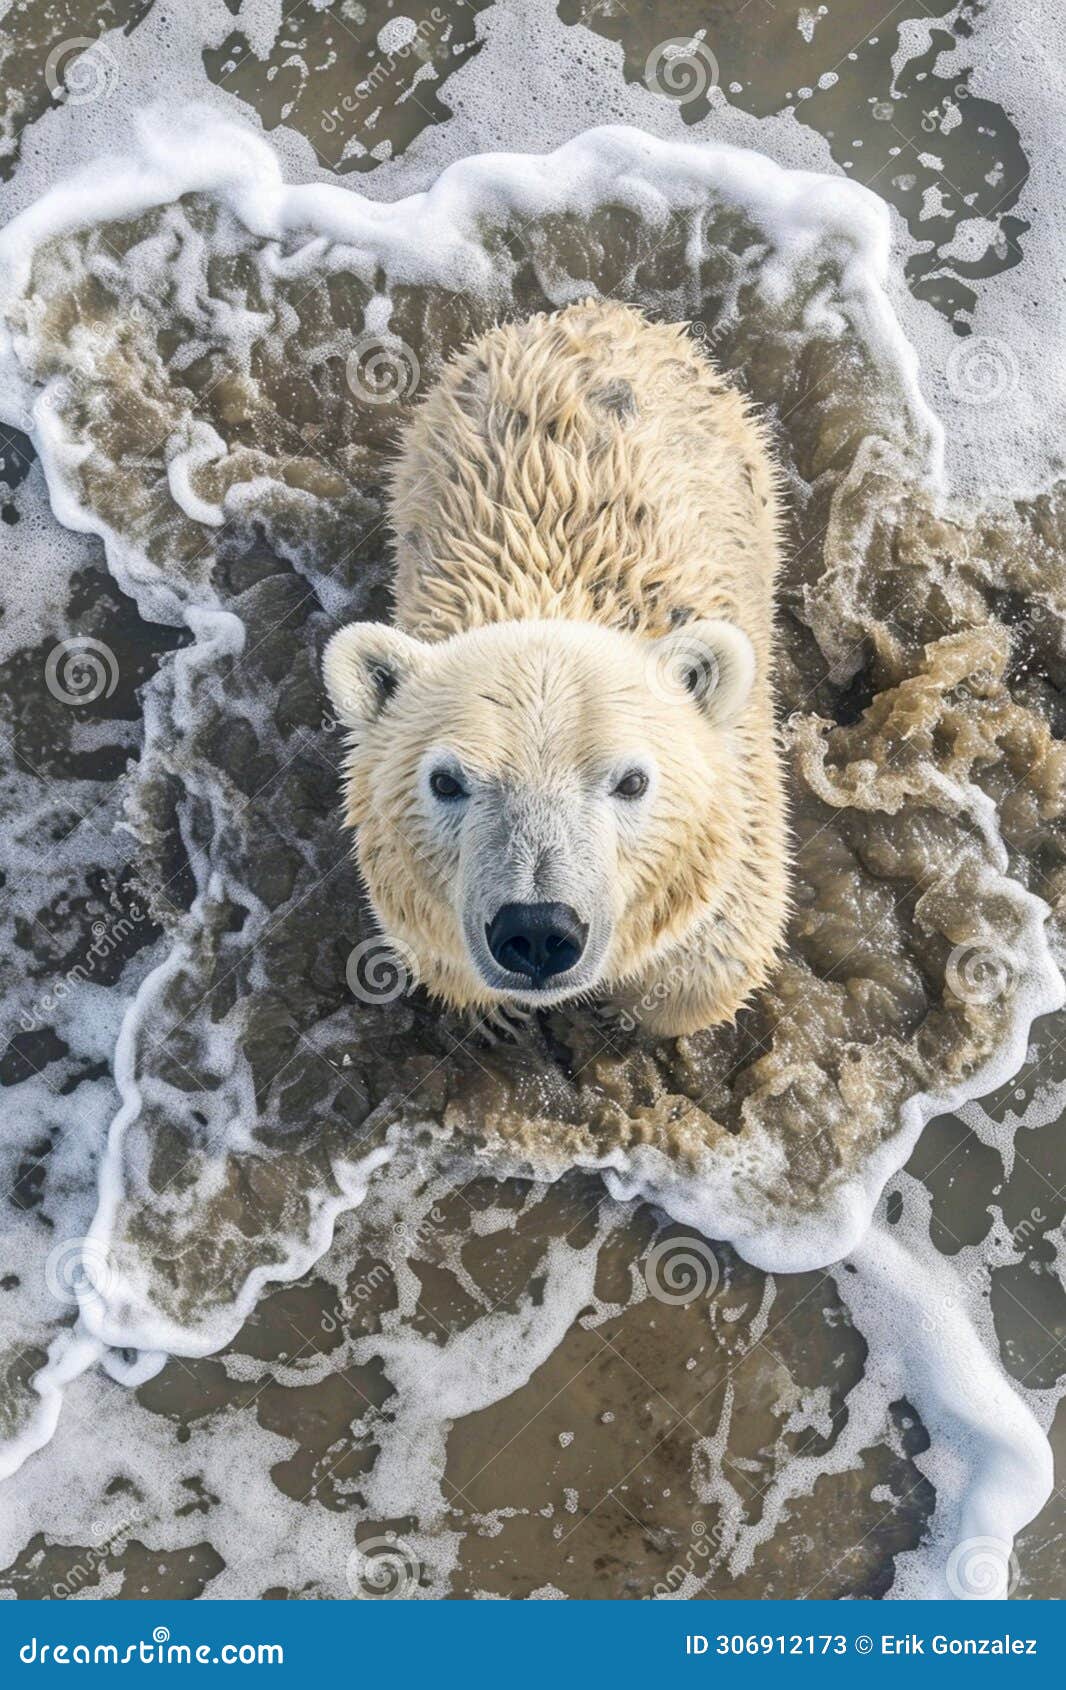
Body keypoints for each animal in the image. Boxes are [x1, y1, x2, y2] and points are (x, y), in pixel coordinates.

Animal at [323, 299, 789, 1037]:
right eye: (446, 782)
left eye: (632, 781)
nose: (538, 930)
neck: (553, 592)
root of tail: (595, 313)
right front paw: (498, 1018)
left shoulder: (740, 841)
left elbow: (706, 969)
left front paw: (630, 1013)